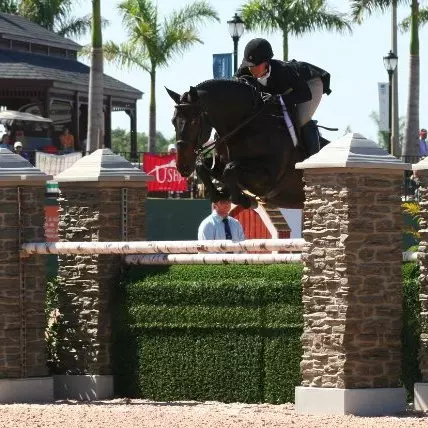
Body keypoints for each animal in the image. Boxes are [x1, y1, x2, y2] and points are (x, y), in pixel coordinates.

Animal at [166, 79, 308, 210]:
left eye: (194, 122)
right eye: (173, 121)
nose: (182, 166)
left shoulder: (269, 176)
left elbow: (230, 169)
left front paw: (242, 200)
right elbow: (202, 166)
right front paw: (218, 195)